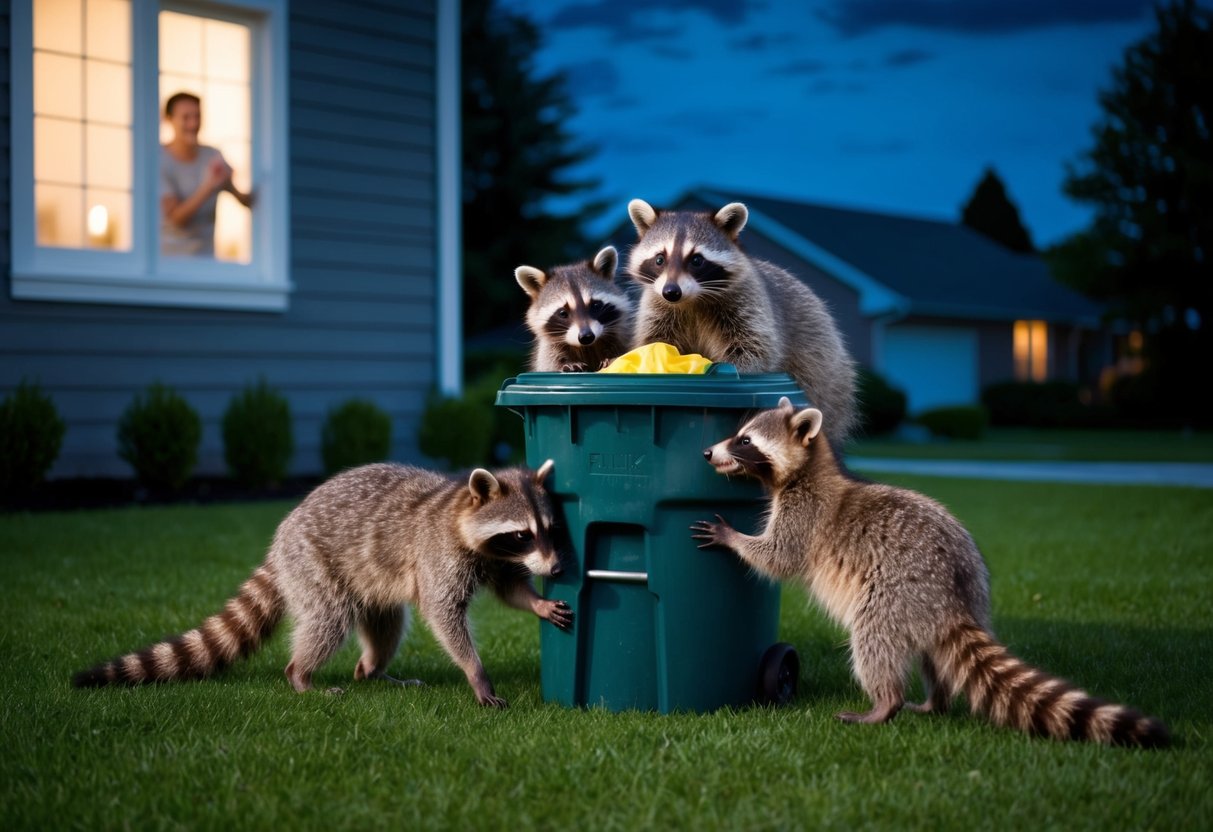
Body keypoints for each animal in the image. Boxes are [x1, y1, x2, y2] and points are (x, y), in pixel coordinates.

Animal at [73, 461, 572, 708]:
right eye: (523, 533)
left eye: (550, 529)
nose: (556, 569)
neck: (460, 512)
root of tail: (280, 540)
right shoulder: (439, 556)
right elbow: (444, 614)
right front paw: (476, 673)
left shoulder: (494, 559)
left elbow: (509, 589)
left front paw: (536, 601)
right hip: (313, 567)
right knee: (327, 624)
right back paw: (301, 676)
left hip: (371, 583)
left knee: (387, 628)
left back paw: (373, 671)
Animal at [627, 199, 858, 442]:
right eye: (659, 259)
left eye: (697, 260)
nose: (671, 292)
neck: (691, 301)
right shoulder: (657, 306)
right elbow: (655, 339)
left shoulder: (749, 303)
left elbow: (755, 350)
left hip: (824, 369)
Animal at [692, 399, 1168, 747]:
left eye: (745, 440)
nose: (709, 451)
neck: (810, 469)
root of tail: (954, 595)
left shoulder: (806, 514)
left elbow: (780, 556)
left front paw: (733, 538)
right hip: (948, 600)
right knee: (936, 657)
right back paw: (934, 701)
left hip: (893, 595)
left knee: (872, 644)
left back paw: (885, 705)